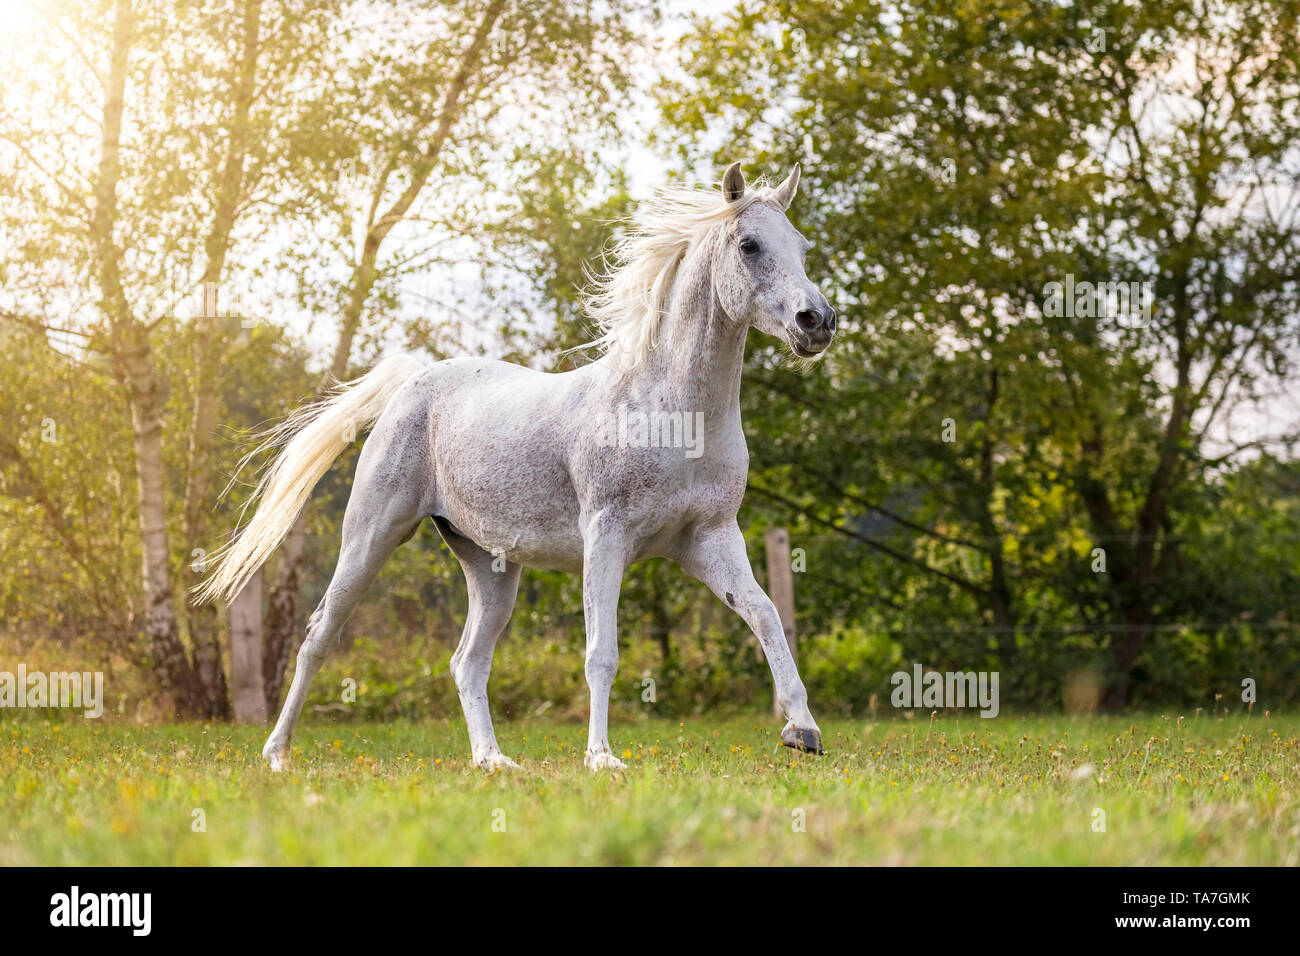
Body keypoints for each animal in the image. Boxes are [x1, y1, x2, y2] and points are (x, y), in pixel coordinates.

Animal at [198, 162, 838, 771]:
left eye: (801, 245)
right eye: (749, 245)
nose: (818, 322)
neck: (672, 412)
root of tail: (412, 382)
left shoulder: (709, 538)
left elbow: (764, 614)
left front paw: (802, 732)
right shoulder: (607, 536)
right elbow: (602, 653)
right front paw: (602, 758)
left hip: (490, 569)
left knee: (467, 661)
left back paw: (493, 760)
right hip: (370, 537)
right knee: (318, 636)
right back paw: (278, 755)